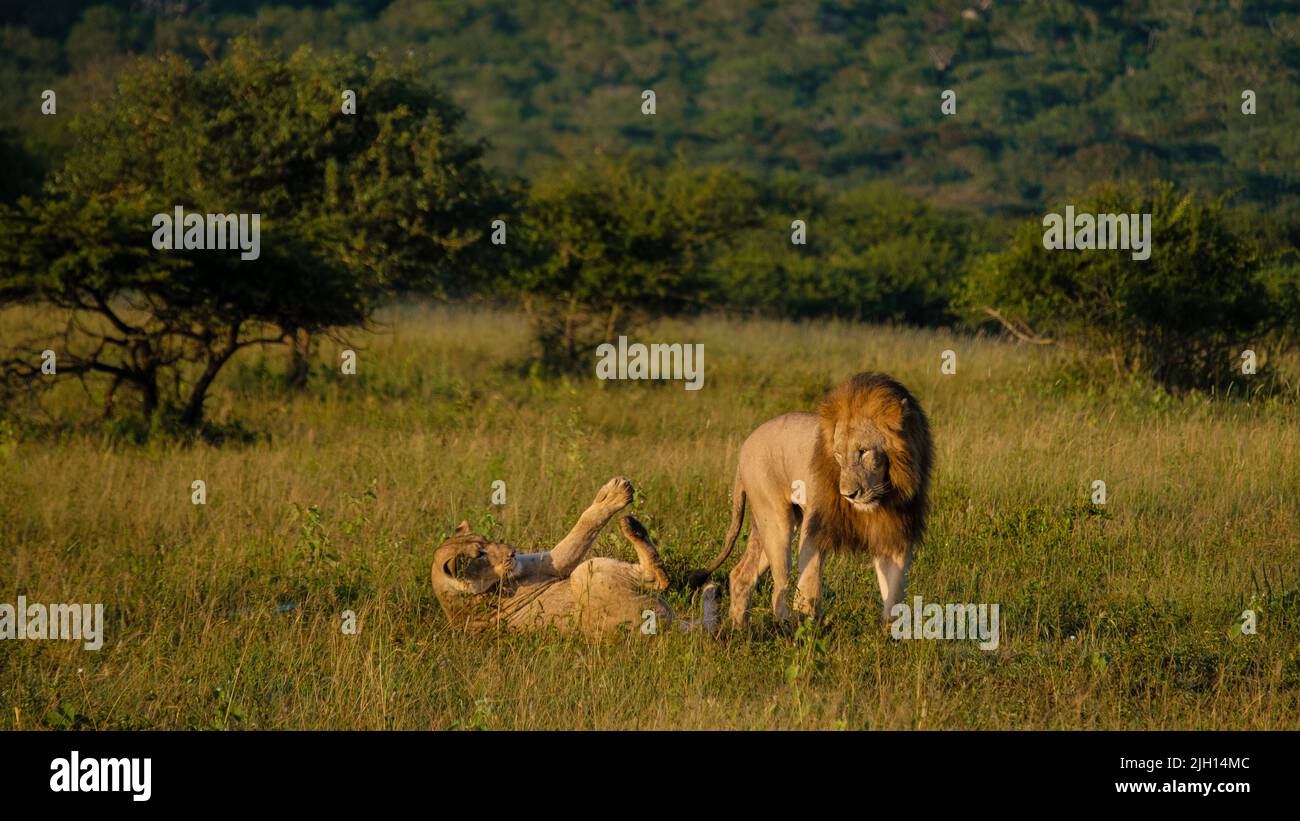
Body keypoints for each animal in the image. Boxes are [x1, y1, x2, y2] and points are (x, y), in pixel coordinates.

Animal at [433, 477, 720, 638]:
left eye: (486, 541)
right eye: (480, 554)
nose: (512, 551)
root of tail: (667, 631)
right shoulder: (556, 562)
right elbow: (585, 522)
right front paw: (615, 493)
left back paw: (713, 591)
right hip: (588, 572)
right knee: (658, 578)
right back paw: (632, 525)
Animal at [688, 372, 933, 628]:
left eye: (863, 451)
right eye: (838, 455)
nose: (848, 494)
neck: (882, 496)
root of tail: (744, 447)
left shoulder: (893, 530)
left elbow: (893, 591)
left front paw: (892, 630)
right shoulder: (816, 526)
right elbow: (809, 583)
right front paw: (808, 626)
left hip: (765, 524)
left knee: (740, 575)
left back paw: (738, 628)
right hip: (777, 520)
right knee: (779, 588)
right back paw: (784, 628)